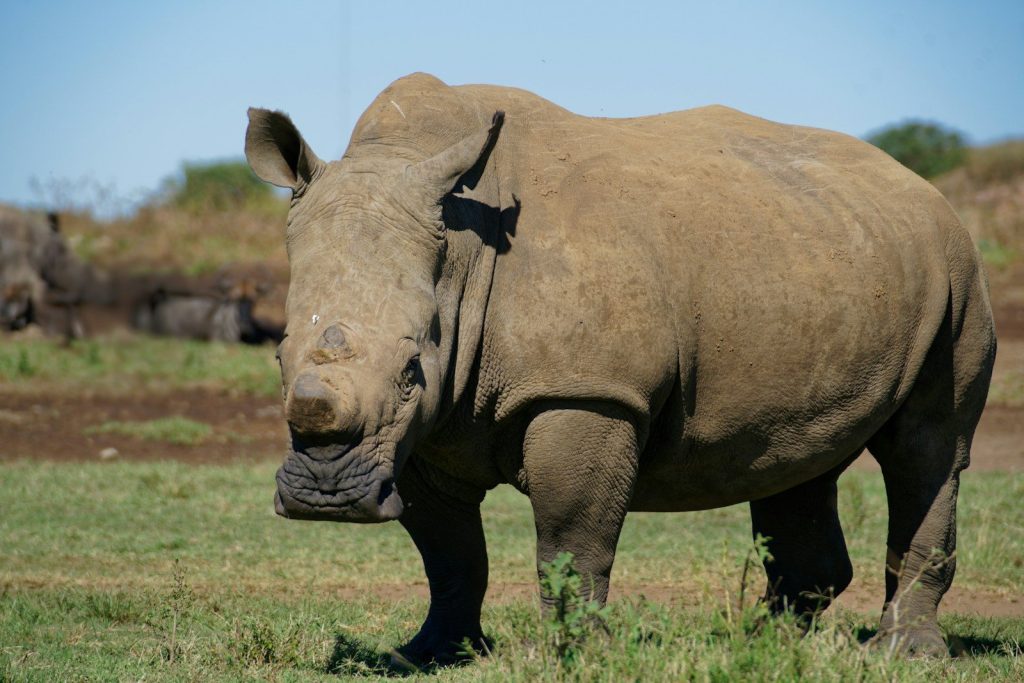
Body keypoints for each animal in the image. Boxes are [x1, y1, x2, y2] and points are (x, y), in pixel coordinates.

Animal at [245, 73, 996, 664]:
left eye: (410, 369)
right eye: (278, 356)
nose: (326, 494)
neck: (459, 251)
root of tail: (922, 185)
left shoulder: (586, 391)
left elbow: (572, 538)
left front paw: (577, 654)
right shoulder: (423, 431)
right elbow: (449, 553)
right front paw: (430, 653)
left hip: (956, 271)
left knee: (928, 449)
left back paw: (903, 653)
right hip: (824, 254)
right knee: (795, 452)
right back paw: (764, 645)